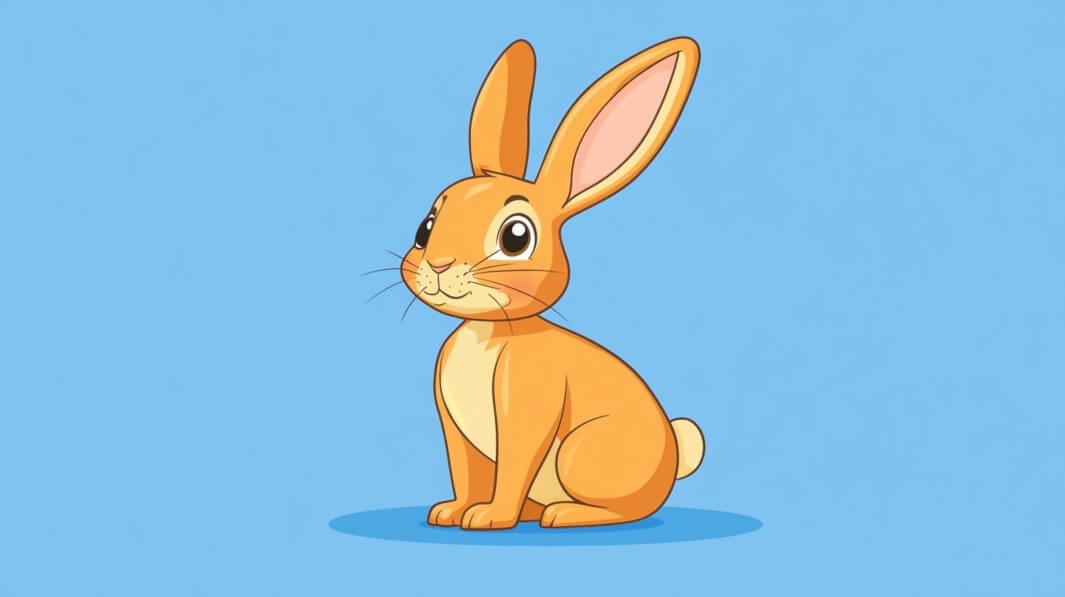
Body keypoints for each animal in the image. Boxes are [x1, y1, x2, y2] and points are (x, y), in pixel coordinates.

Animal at [397, 37, 705, 529]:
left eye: (516, 237)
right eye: (425, 228)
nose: (440, 266)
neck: (491, 331)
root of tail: (674, 460)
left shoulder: (526, 414)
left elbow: (511, 470)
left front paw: (490, 518)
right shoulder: (454, 430)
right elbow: (466, 474)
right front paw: (452, 512)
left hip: (579, 453)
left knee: (630, 509)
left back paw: (562, 514)